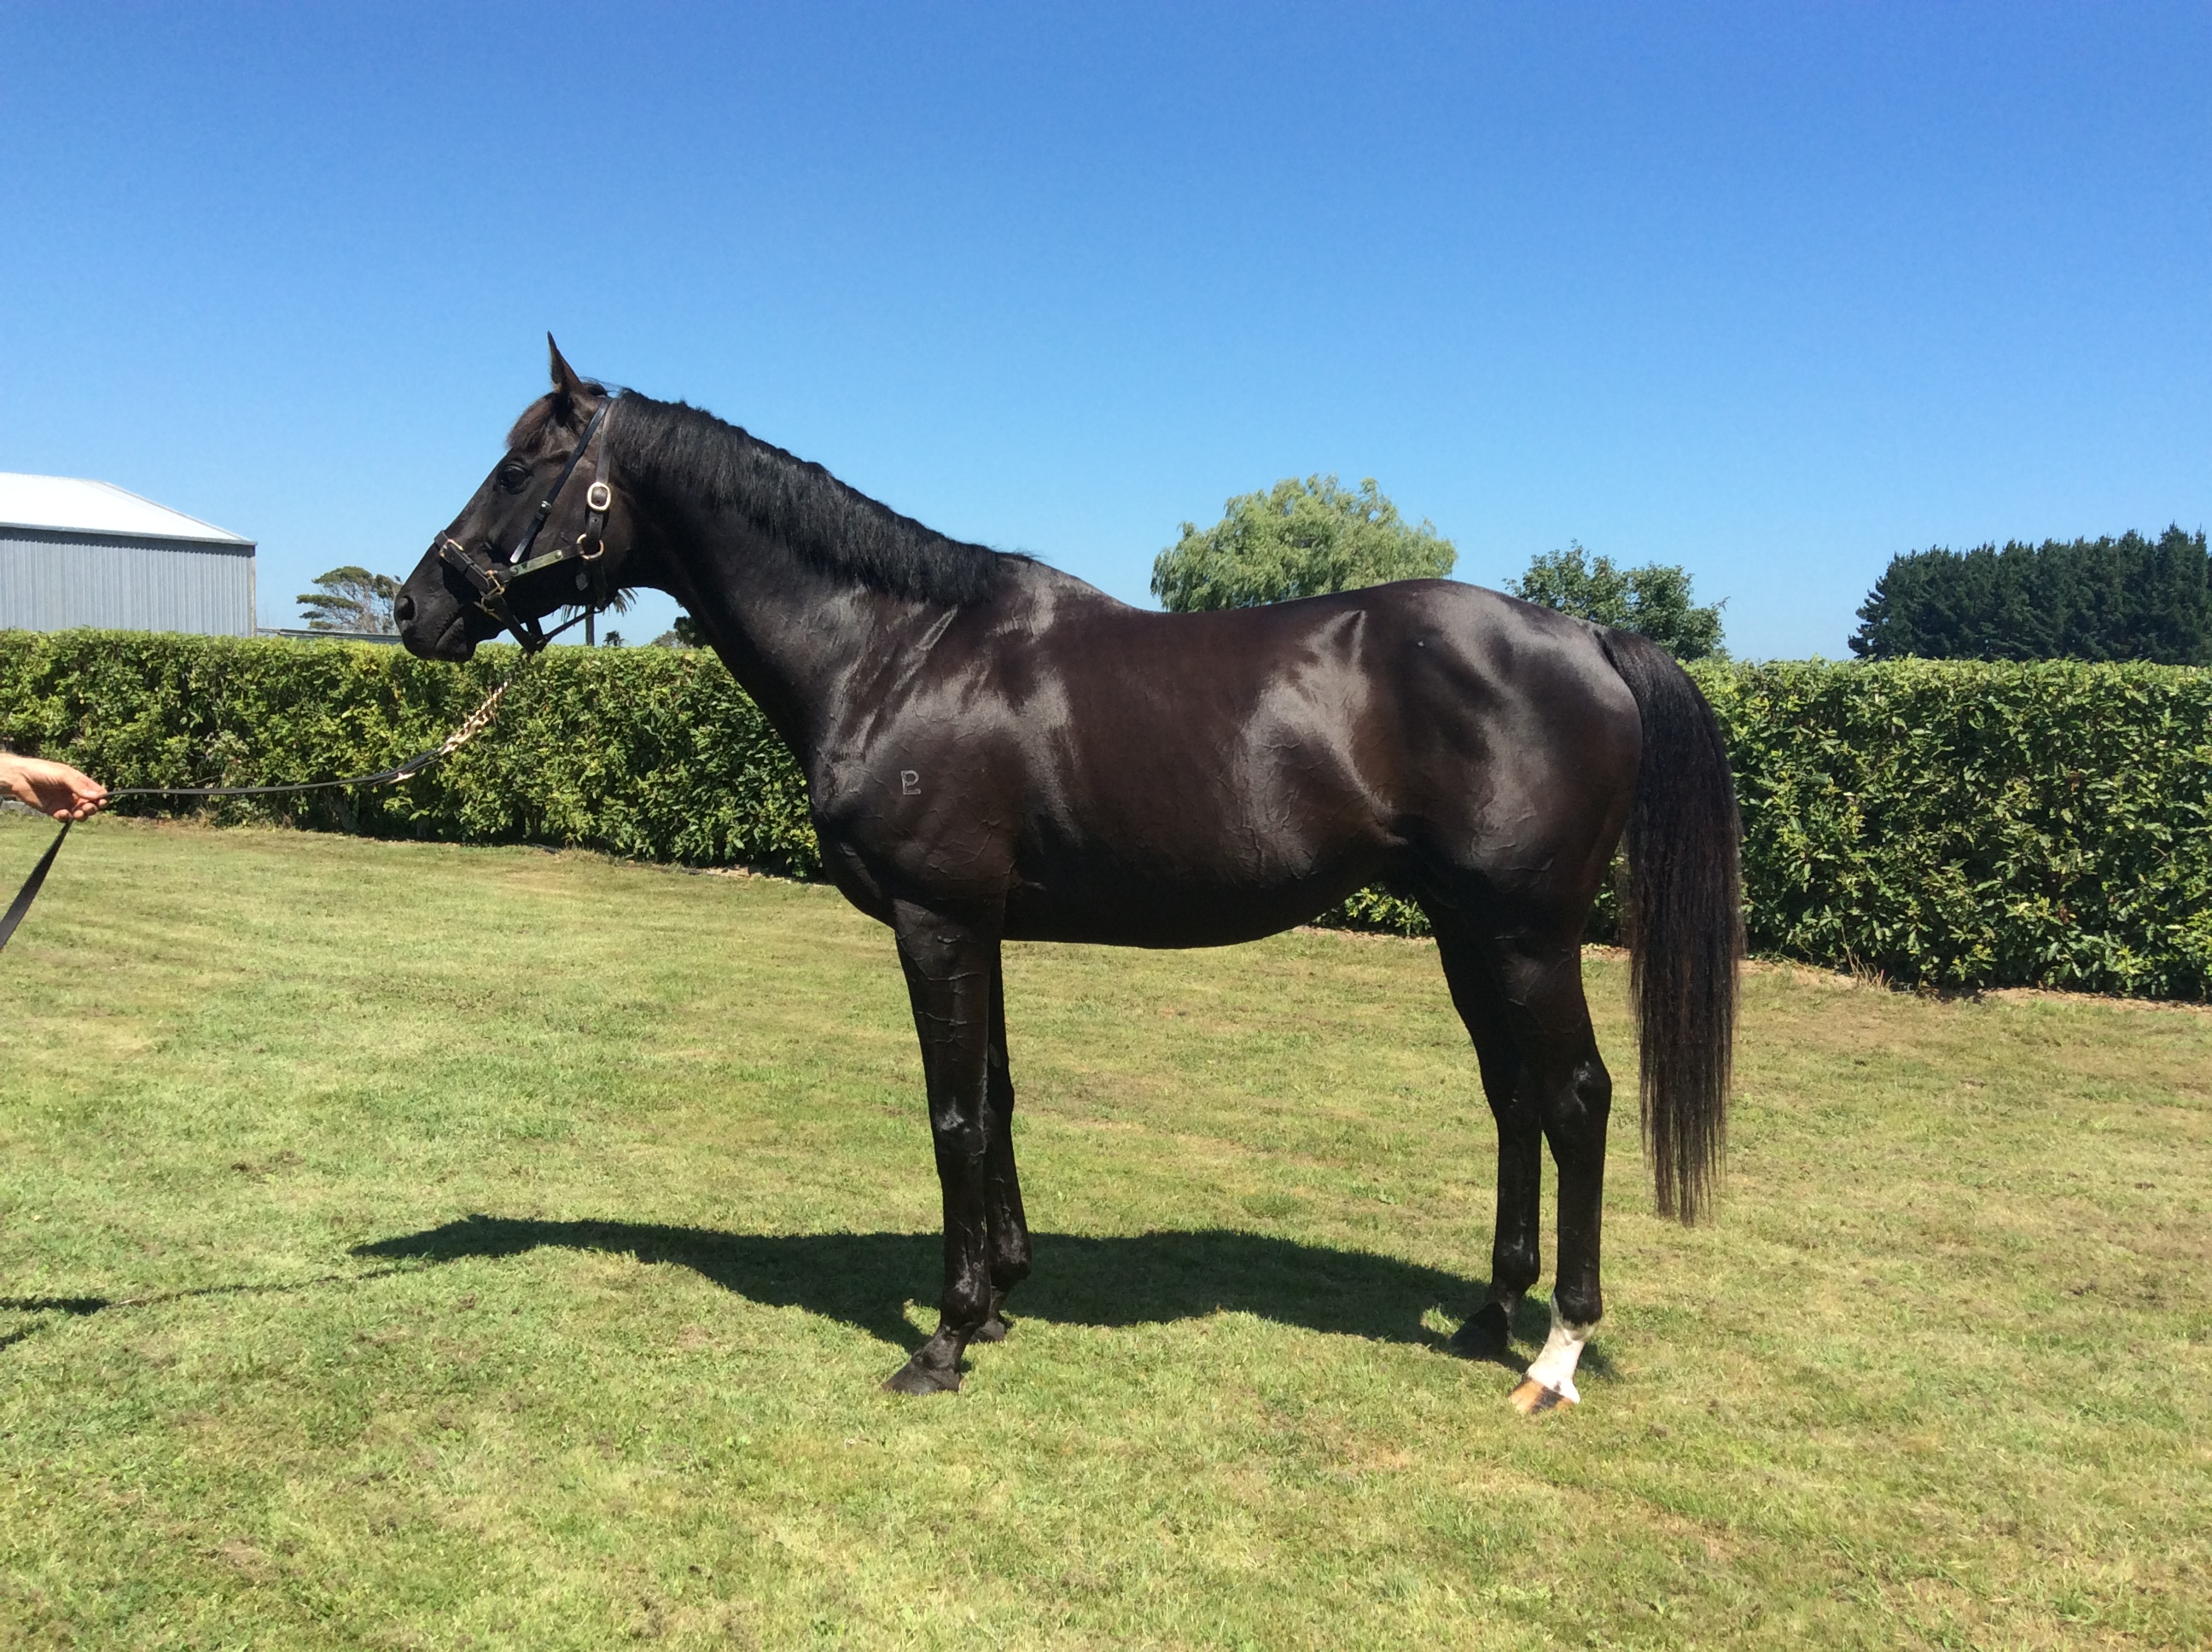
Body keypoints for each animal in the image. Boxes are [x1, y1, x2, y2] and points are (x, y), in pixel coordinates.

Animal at [396, 339, 1741, 1411]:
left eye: (518, 469)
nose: (417, 608)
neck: (895, 649)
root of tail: (1584, 637)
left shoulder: (934, 920)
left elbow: (949, 1116)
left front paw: (942, 1340)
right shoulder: (978, 924)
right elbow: (995, 1100)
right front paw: (1000, 1296)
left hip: (1526, 937)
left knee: (1575, 1100)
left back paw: (1557, 1352)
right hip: (1470, 934)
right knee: (1514, 1101)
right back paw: (1488, 1312)